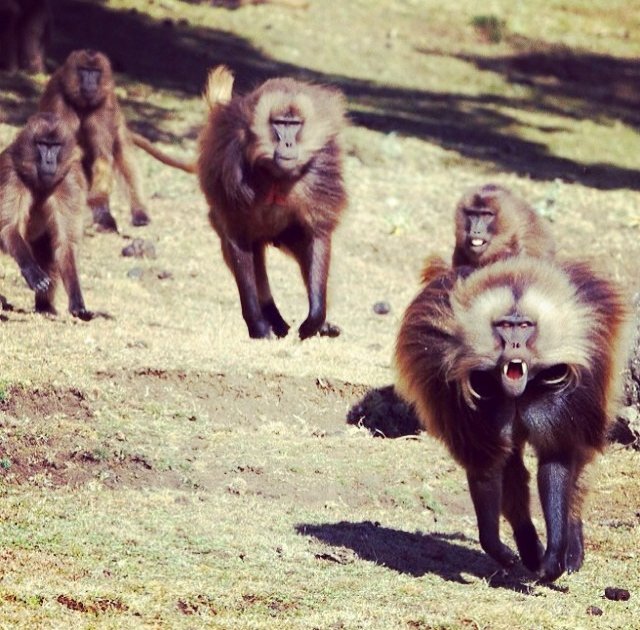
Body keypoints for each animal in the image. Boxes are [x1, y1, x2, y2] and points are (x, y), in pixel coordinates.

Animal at [0, 112, 93, 320]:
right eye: (42, 144)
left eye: (55, 145)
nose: (49, 162)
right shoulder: (11, 173)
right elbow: (8, 227)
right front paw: (34, 273)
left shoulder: (69, 180)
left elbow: (65, 243)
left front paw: (77, 302)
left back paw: (44, 306)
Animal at [196, 65, 347, 340]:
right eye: (279, 123)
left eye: (294, 124)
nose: (287, 144)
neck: (276, 176)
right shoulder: (232, 169)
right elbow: (238, 242)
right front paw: (257, 327)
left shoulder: (318, 175)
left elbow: (318, 234)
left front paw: (314, 321)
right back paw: (273, 318)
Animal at [395, 256, 630, 582]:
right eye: (505, 326)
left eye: (525, 326)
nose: (515, 346)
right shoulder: (472, 401)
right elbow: (488, 465)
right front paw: (498, 548)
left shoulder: (563, 399)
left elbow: (556, 461)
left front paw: (555, 557)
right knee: (511, 466)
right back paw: (528, 546)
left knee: (579, 463)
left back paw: (570, 545)